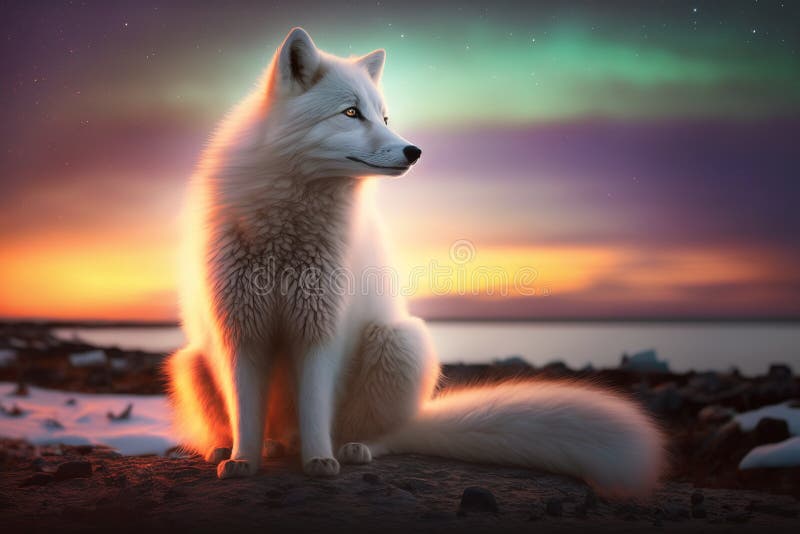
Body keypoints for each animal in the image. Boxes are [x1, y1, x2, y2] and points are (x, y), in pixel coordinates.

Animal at [166, 27, 664, 497]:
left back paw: (350, 449)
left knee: (381, 436)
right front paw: (242, 461)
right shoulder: (240, 332)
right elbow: (245, 414)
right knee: (257, 427)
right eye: (351, 113)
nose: (415, 151)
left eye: (385, 116)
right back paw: (241, 448)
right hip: (190, 363)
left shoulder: (321, 329)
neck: (286, 230)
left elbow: (316, 410)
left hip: (399, 342)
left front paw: (319, 462)